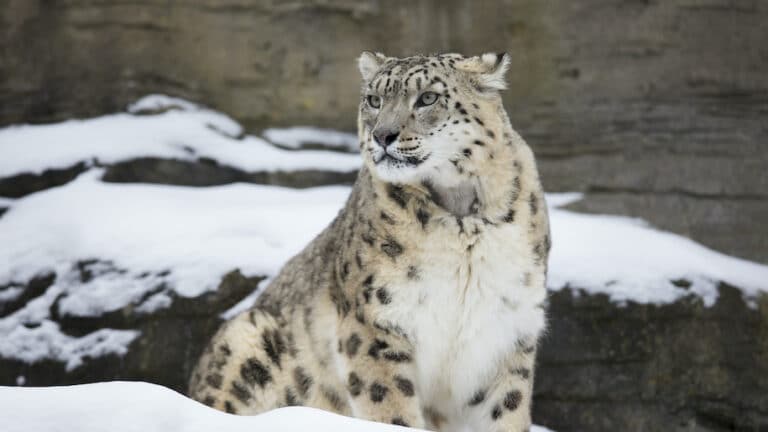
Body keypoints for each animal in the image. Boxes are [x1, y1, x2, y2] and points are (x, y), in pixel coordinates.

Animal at [188, 51, 551, 432]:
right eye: (374, 100)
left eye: (428, 98)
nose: (383, 135)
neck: (461, 214)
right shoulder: (375, 322)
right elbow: (390, 406)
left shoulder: (505, 331)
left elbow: (505, 411)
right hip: (246, 338)